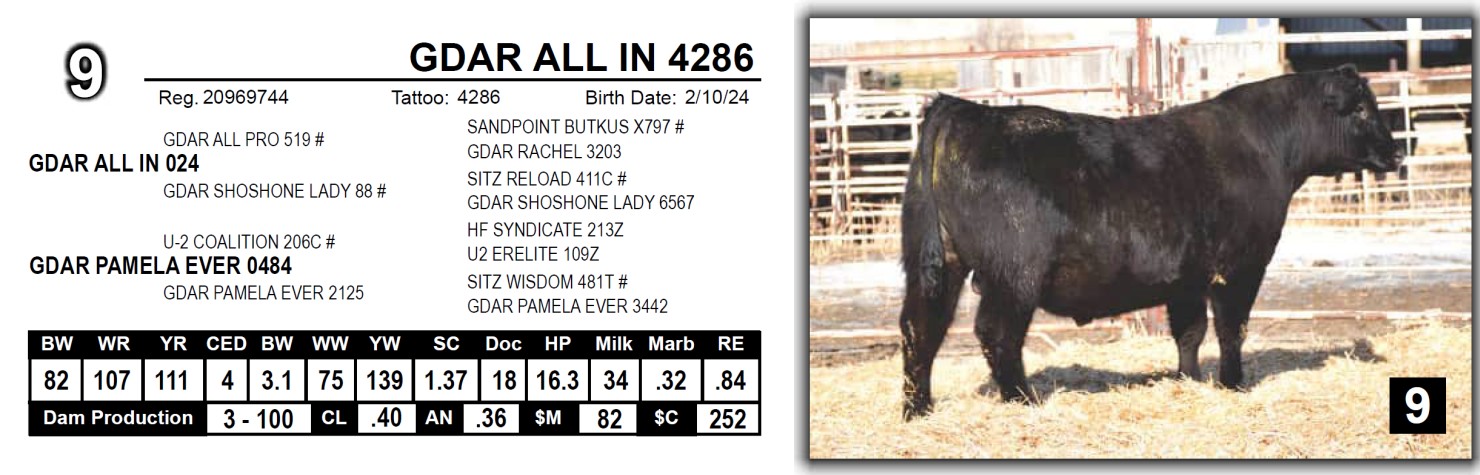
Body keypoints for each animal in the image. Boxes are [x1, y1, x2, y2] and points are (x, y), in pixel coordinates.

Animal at [898, 64, 1401, 420]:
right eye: (1360, 109)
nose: (1397, 152)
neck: (1266, 148)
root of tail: (964, 110)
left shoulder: (1187, 278)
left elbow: (1189, 332)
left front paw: (1188, 381)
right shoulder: (1240, 266)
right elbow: (1231, 330)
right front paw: (1233, 385)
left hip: (938, 265)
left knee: (920, 328)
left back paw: (918, 409)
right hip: (1013, 275)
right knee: (996, 333)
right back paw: (1023, 401)